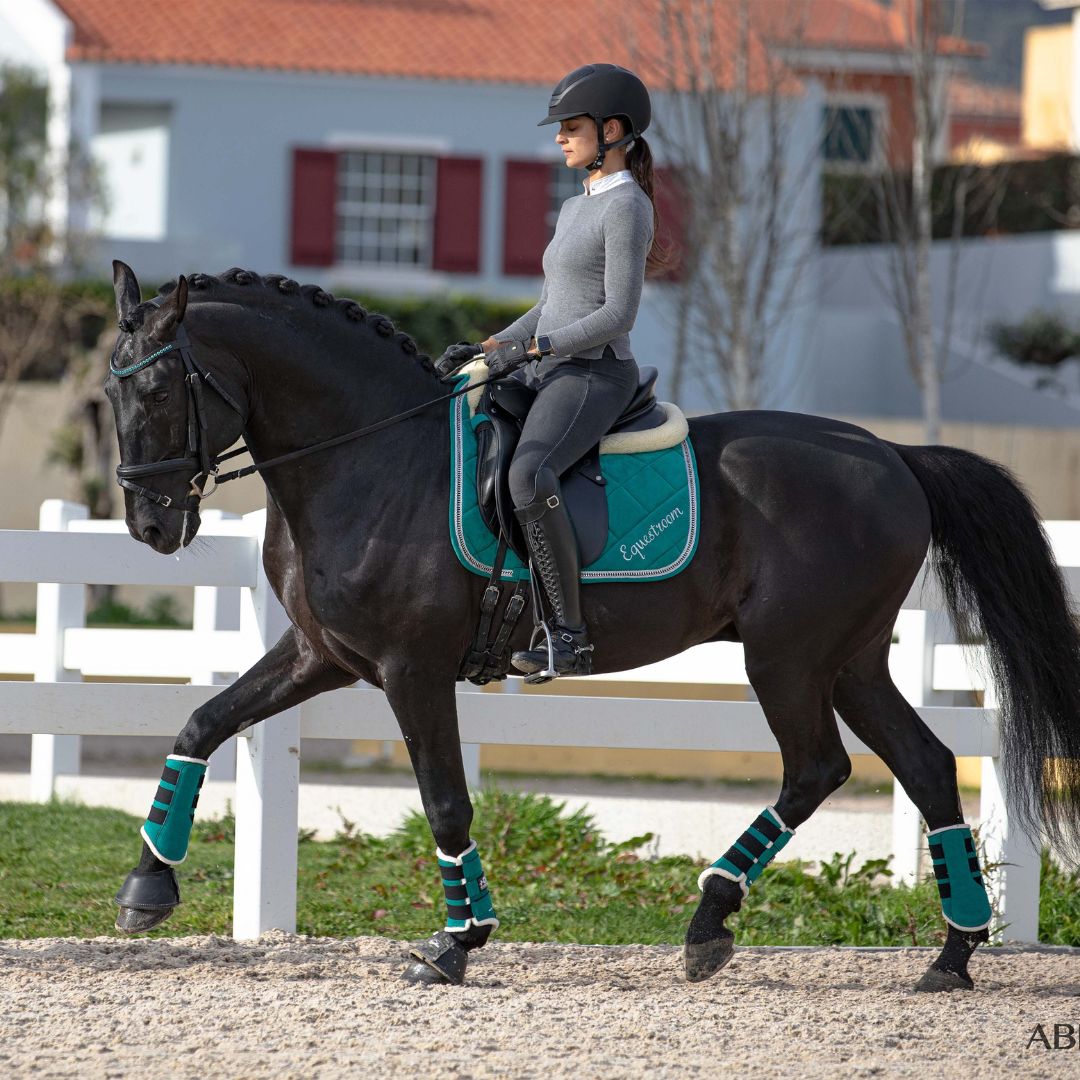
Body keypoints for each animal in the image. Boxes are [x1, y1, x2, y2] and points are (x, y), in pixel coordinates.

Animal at [104, 260, 1080, 990]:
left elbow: (445, 800)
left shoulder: (409, 669)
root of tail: (892, 455)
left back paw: (708, 924)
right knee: (925, 765)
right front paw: (149, 885)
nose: (150, 526)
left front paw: (456, 944)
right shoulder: (320, 655)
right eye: (112, 396)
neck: (372, 455)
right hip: (852, 662)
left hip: (789, 659)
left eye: (156, 389)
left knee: (817, 768)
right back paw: (952, 955)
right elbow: (202, 721)